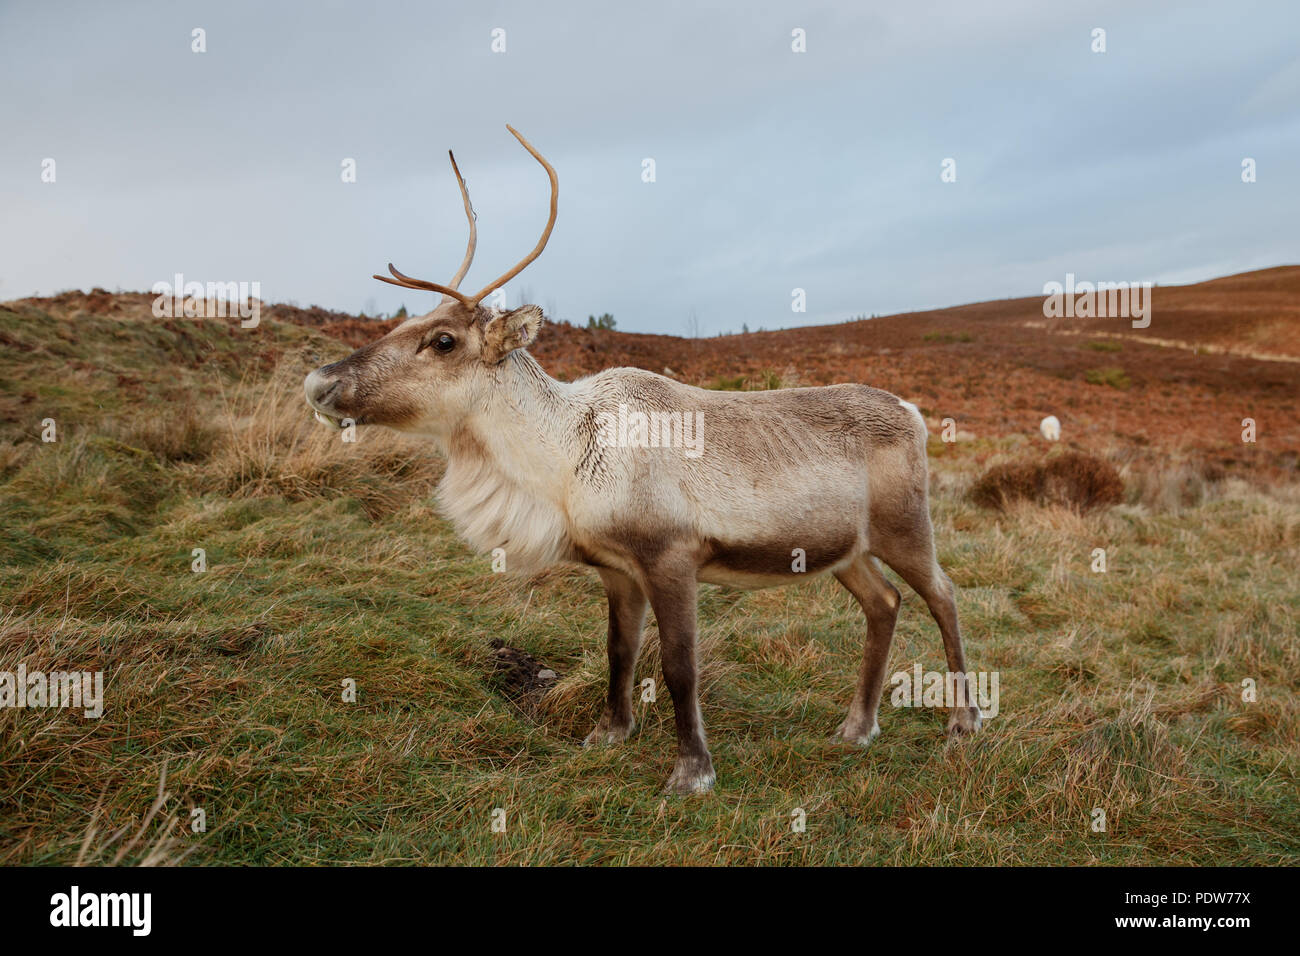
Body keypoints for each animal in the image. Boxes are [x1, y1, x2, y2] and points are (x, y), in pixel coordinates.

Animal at [304, 126, 982, 794]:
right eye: (407, 321)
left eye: (443, 340)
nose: (319, 381)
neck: (562, 462)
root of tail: (914, 413)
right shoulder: (615, 569)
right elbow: (619, 651)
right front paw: (608, 733)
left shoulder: (672, 556)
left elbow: (679, 665)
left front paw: (692, 771)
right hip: (846, 548)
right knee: (885, 603)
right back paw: (857, 727)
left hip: (905, 527)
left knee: (944, 595)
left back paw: (962, 723)